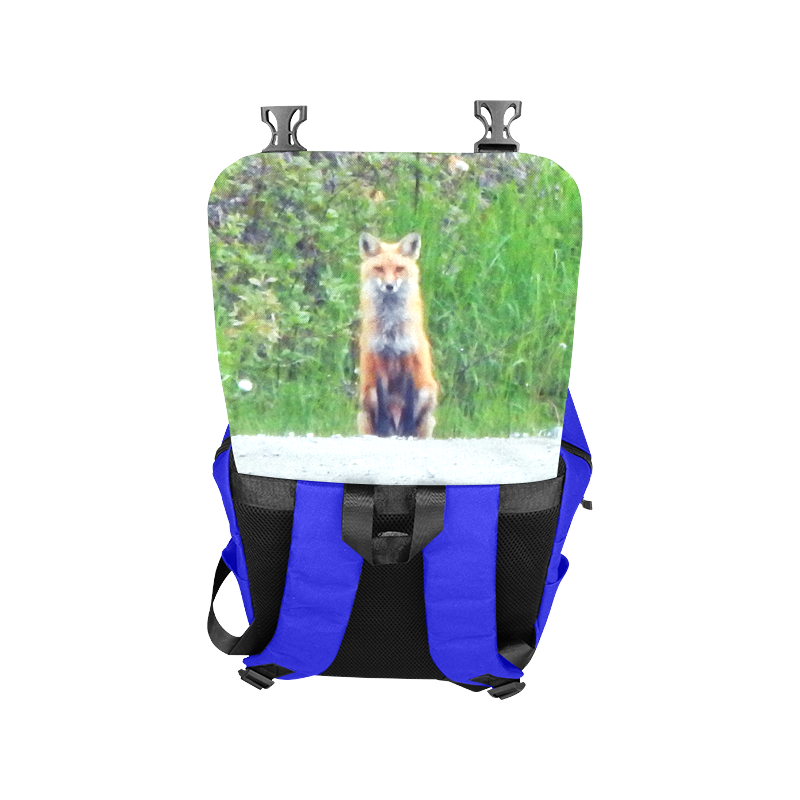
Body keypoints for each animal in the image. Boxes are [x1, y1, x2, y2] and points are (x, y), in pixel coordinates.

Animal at [357, 232, 438, 438]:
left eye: (399, 269)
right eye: (379, 269)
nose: (389, 286)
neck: (391, 325)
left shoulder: (409, 355)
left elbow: (409, 400)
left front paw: (409, 430)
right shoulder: (379, 357)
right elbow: (382, 399)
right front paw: (383, 430)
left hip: (427, 392)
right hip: (367, 396)